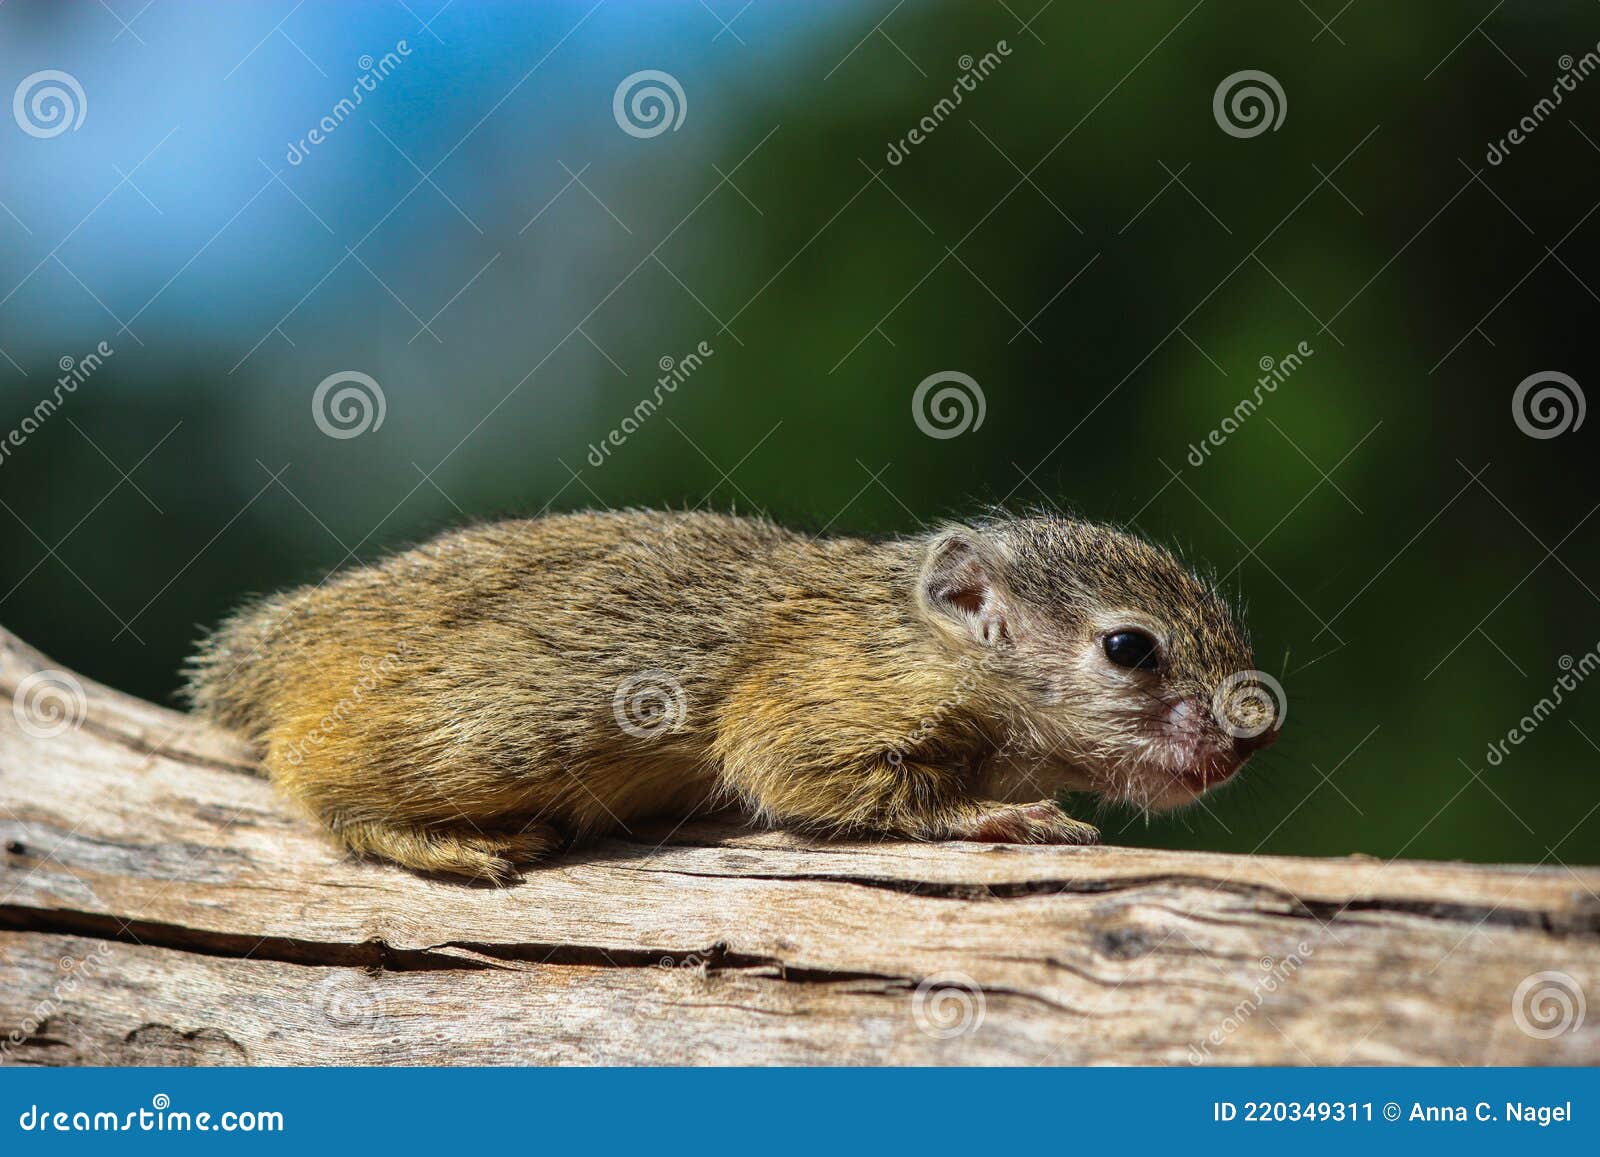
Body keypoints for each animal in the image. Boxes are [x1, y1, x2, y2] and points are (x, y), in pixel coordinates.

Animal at [183, 510, 1277, 882]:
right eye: (1130, 649)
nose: (1255, 736)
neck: (921, 639)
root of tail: (274, 646)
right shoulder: (817, 700)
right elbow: (799, 772)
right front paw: (997, 813)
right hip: (481, 734)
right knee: (318, 785)